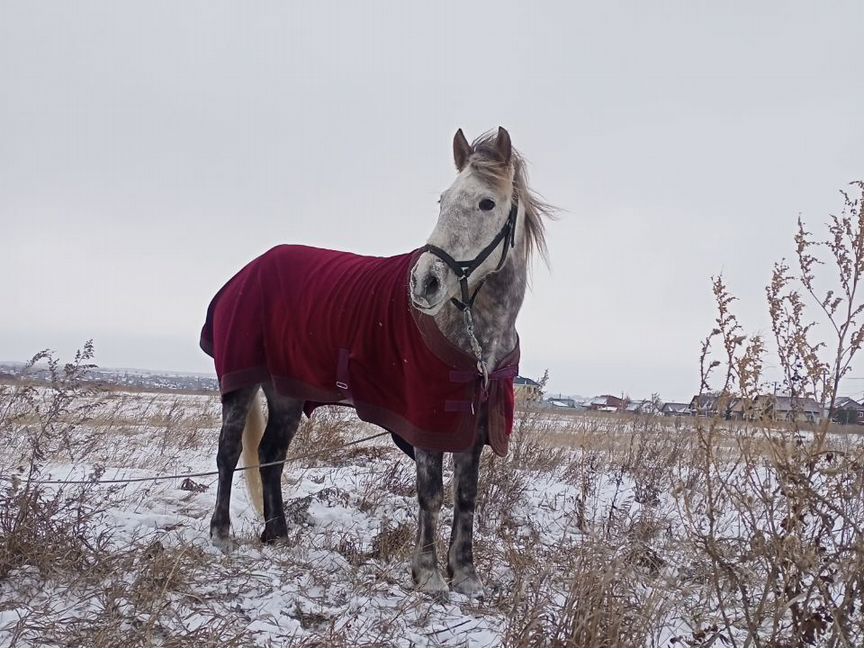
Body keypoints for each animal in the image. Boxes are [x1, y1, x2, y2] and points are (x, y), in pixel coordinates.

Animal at [201, 126, 552, 596]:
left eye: (486, 203)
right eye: (442, 200)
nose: (425, 282)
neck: (476, 336)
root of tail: (242, 274)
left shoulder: (474, 425)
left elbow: (466, 496)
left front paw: (467, 576)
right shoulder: (426, 420)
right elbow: (431, 494)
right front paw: (429, 575)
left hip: (286, 393)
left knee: (271, 453)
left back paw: (278, 534)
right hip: (242, 382)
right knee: (229, 451)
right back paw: (221, 534)